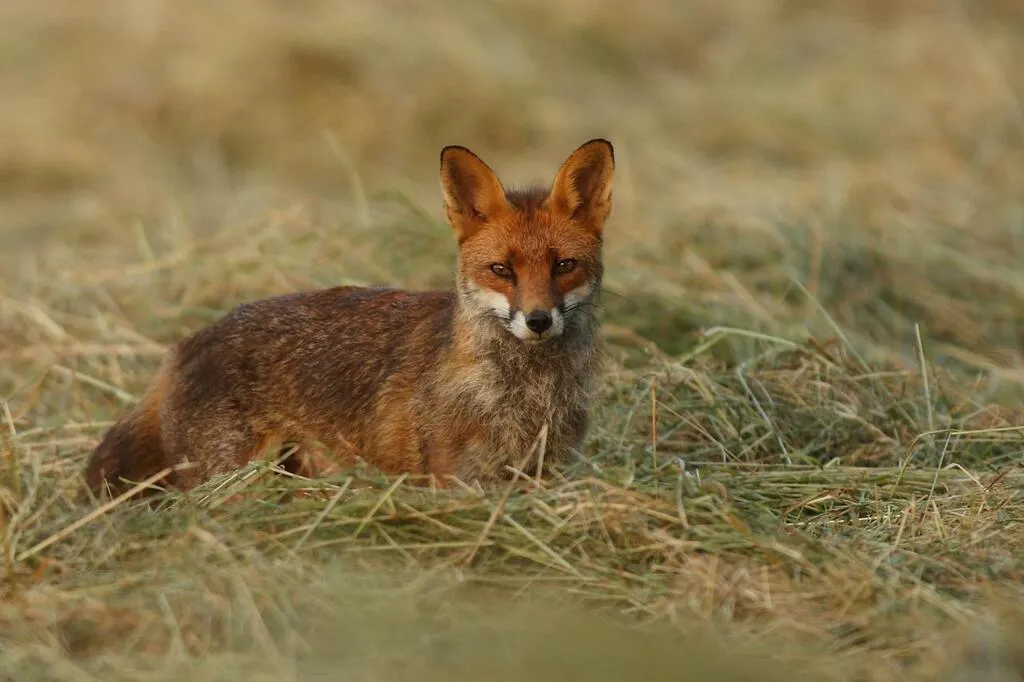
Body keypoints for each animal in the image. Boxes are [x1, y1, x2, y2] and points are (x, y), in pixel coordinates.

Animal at [82, 138, 615, 498]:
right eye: (502, 270)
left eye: (563, 266)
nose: (538, 320)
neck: (526, 400)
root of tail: (185, 345)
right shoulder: (454, 480)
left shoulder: (551, 472)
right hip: (237, 478)